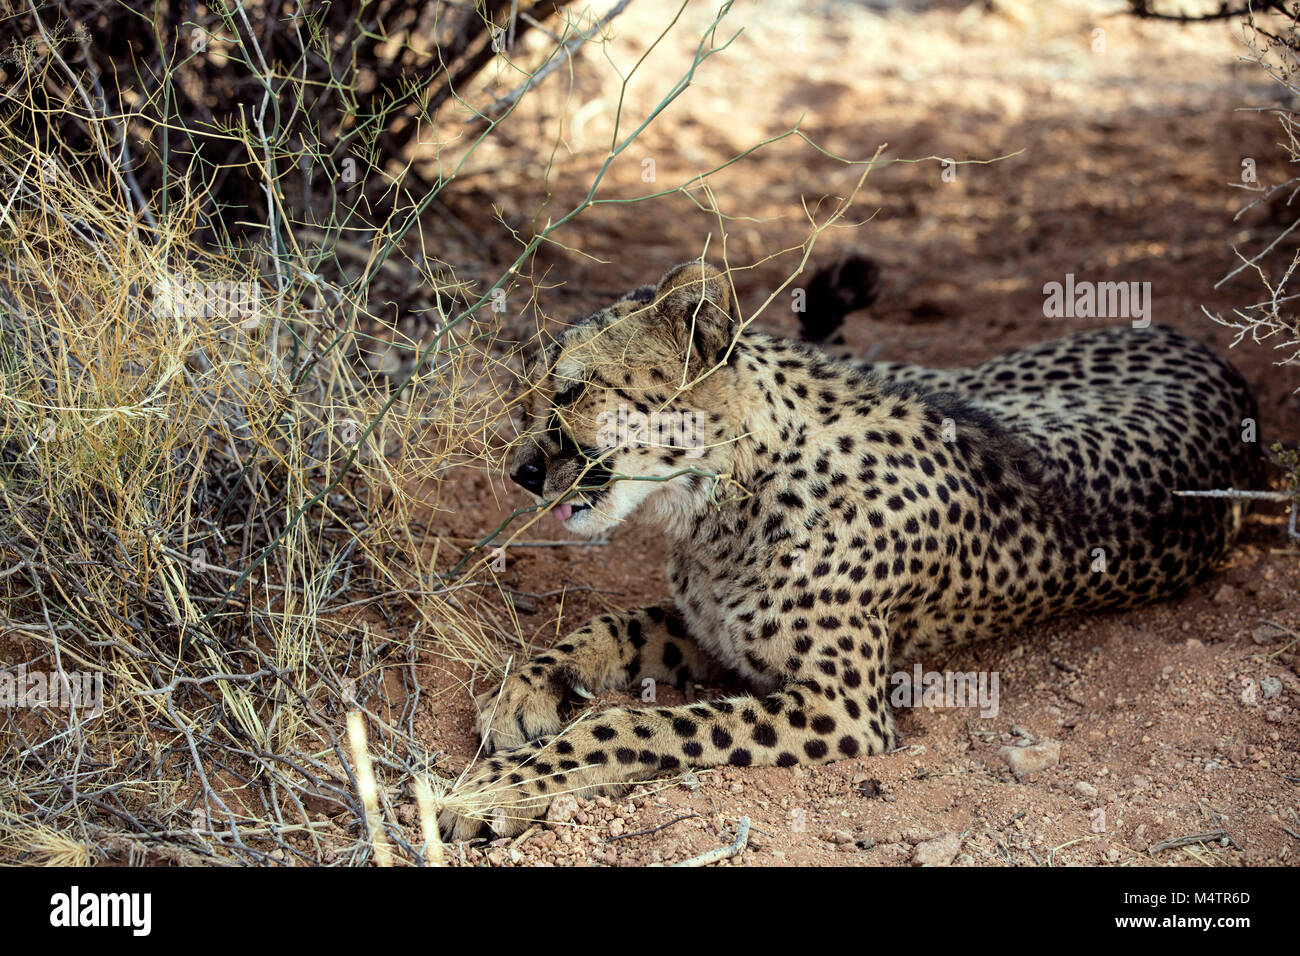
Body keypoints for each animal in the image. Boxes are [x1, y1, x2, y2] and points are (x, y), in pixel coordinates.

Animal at [437, 256, 1260, 841]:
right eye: (527, 396)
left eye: (571, 391)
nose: (521, 471)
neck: (732, 488)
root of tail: (1202, 349)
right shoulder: (716, 635)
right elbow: (608, 625)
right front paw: (520, 694)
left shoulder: (843, 707)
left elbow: (630, 725)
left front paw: (490, 791)